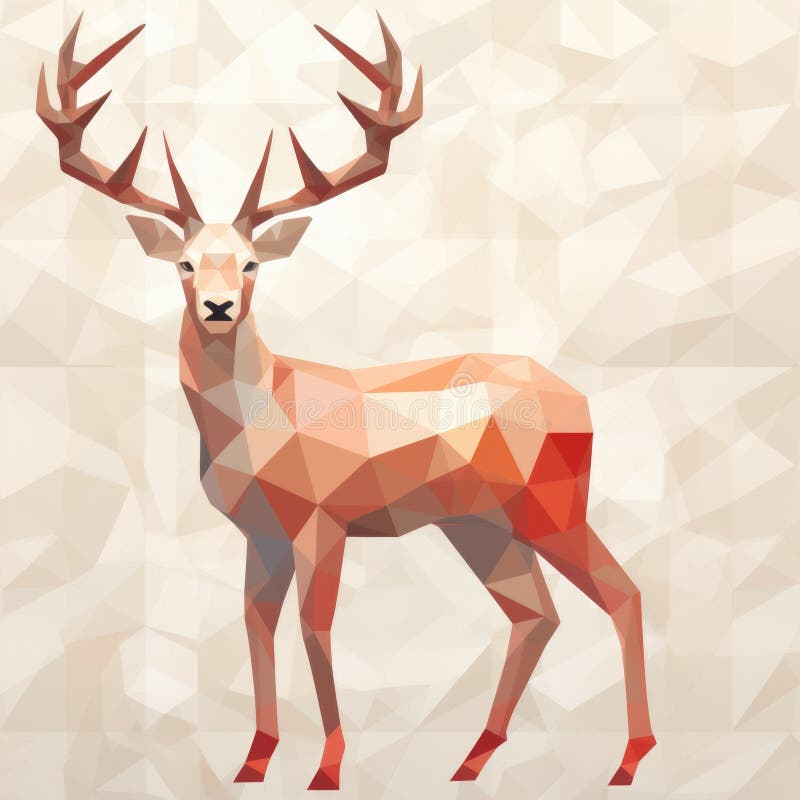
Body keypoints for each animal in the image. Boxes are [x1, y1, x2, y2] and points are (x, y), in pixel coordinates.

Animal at [37, 12, 656, 791]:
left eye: (251, 263)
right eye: (184, 263)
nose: (217, 307)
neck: (264, 414)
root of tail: (580, 400)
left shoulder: (322, 524)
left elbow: (315, 629)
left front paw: (327, 768)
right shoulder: (264, 535)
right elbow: (257, 628)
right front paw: (254, 761)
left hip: (552, 504)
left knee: (623, 591)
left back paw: (628, 761)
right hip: (481, 526)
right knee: (536, 614)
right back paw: (471, 759)